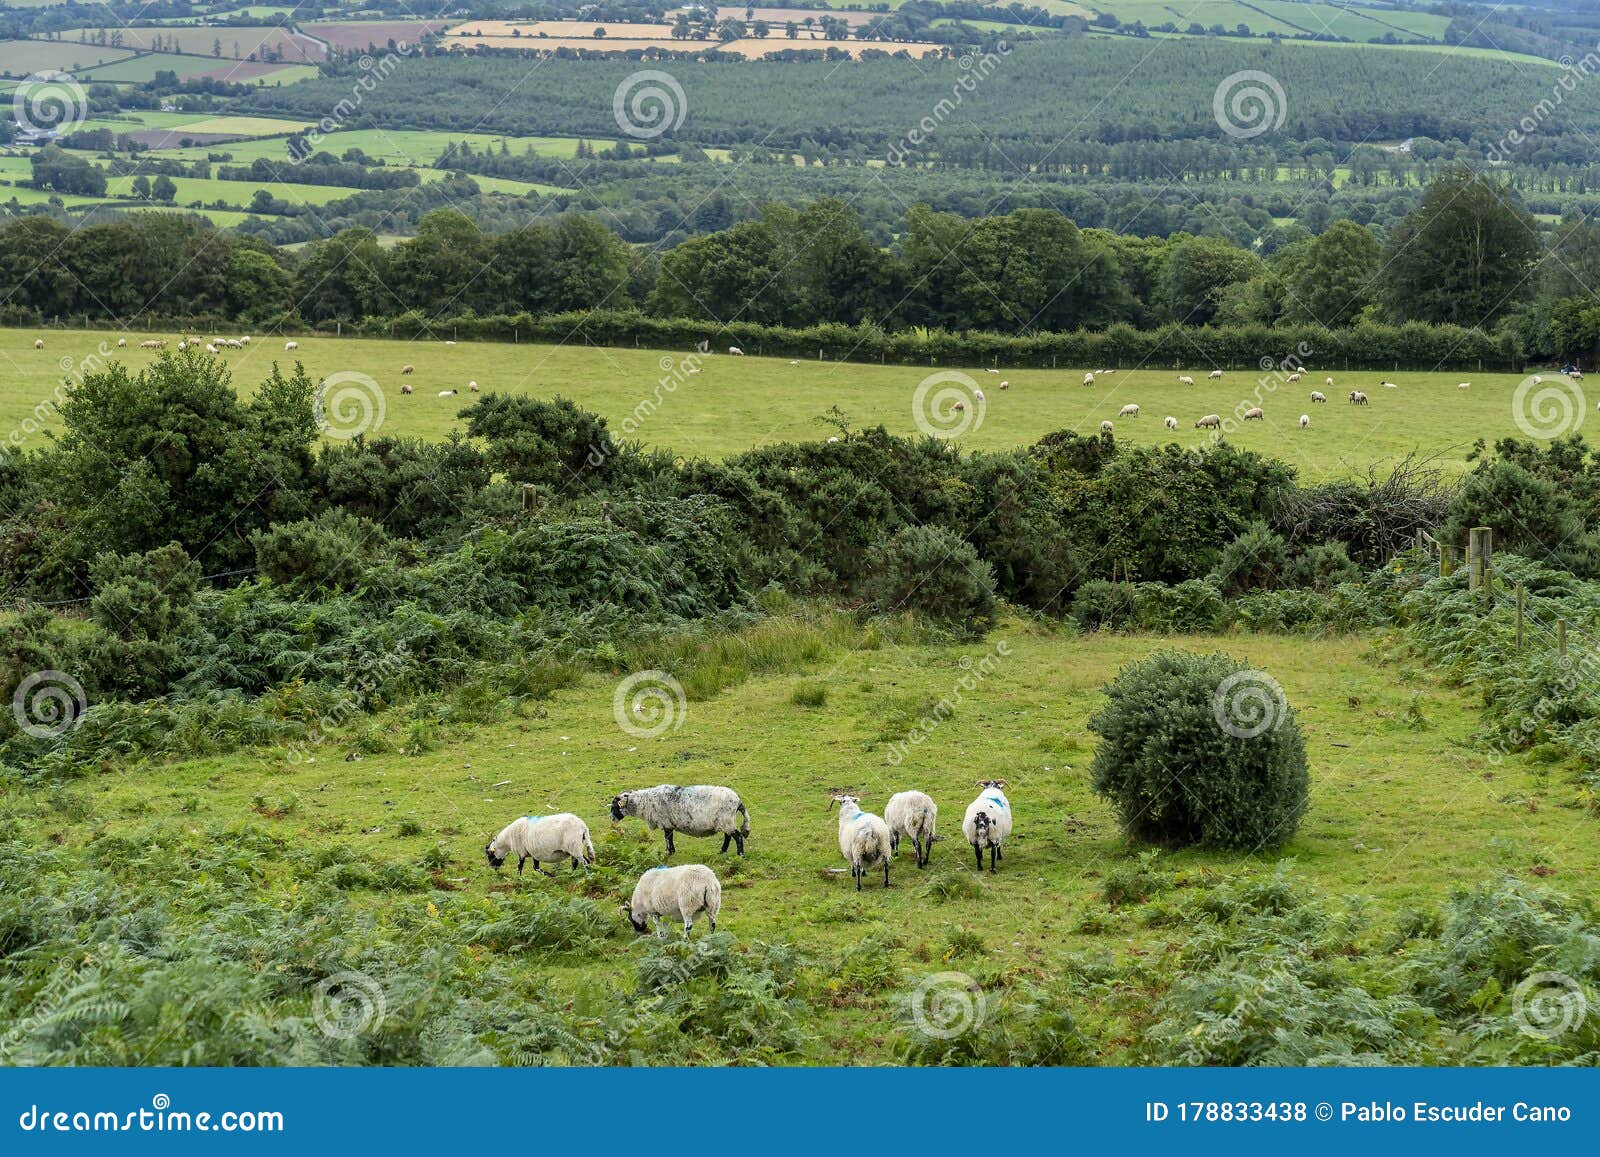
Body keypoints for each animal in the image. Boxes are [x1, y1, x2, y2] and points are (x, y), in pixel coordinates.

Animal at [610, 784, 750, 857]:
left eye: (615, 806)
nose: (611, 818)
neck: (645, 802)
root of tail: (738, 801)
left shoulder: (665, 822)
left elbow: (667, 838)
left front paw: (668, 853)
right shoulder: (669, 824)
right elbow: (670, 838)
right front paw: (672, 851)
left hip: (727, 821)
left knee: (737, 837)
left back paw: (740, 854)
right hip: (725, 822)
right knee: (728, 836)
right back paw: (722, 851)